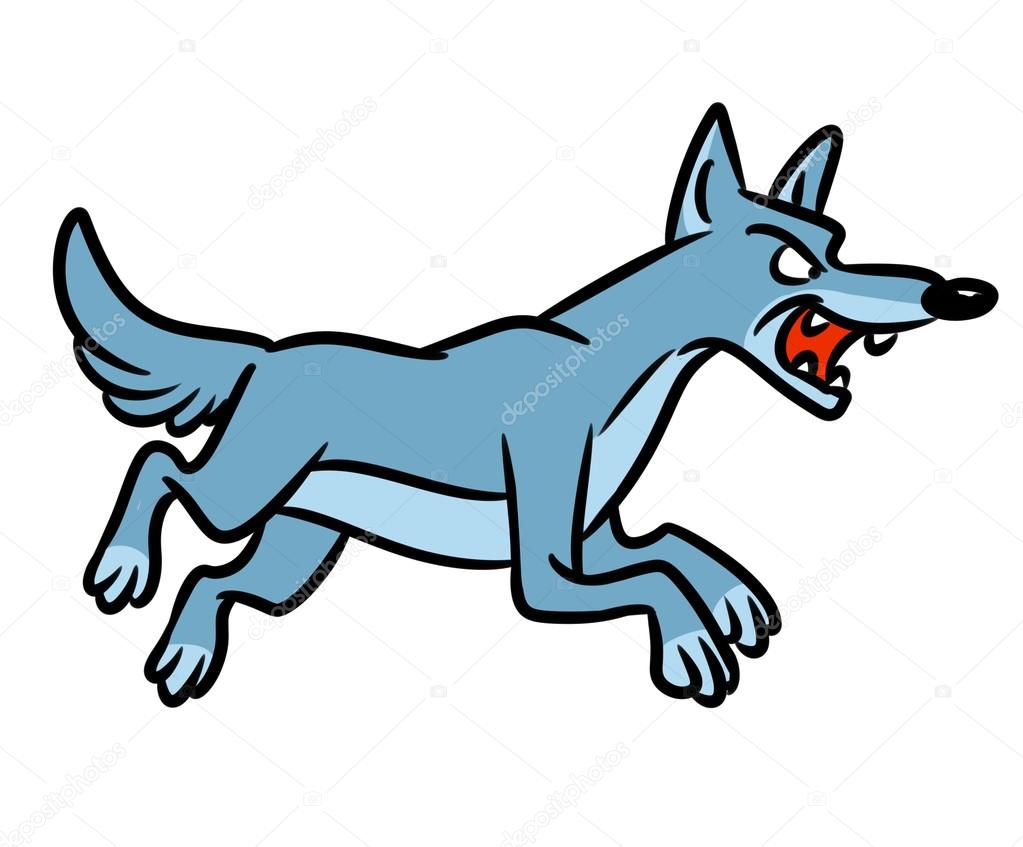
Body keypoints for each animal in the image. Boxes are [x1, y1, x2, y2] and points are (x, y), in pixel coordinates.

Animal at [55, 103, 996, 707]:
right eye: (794, 265)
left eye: (838, 241)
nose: (956, 294)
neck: (620, 360)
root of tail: (266, 352)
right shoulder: (545, 573)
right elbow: (656, 575)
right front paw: (689, 644)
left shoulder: (594, 535)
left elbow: (675, 542)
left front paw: (728, 596)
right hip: (241, 493)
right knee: (159, 466)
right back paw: (123, 567)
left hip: (297, 547)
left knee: (213, 581)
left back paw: (186, 652)